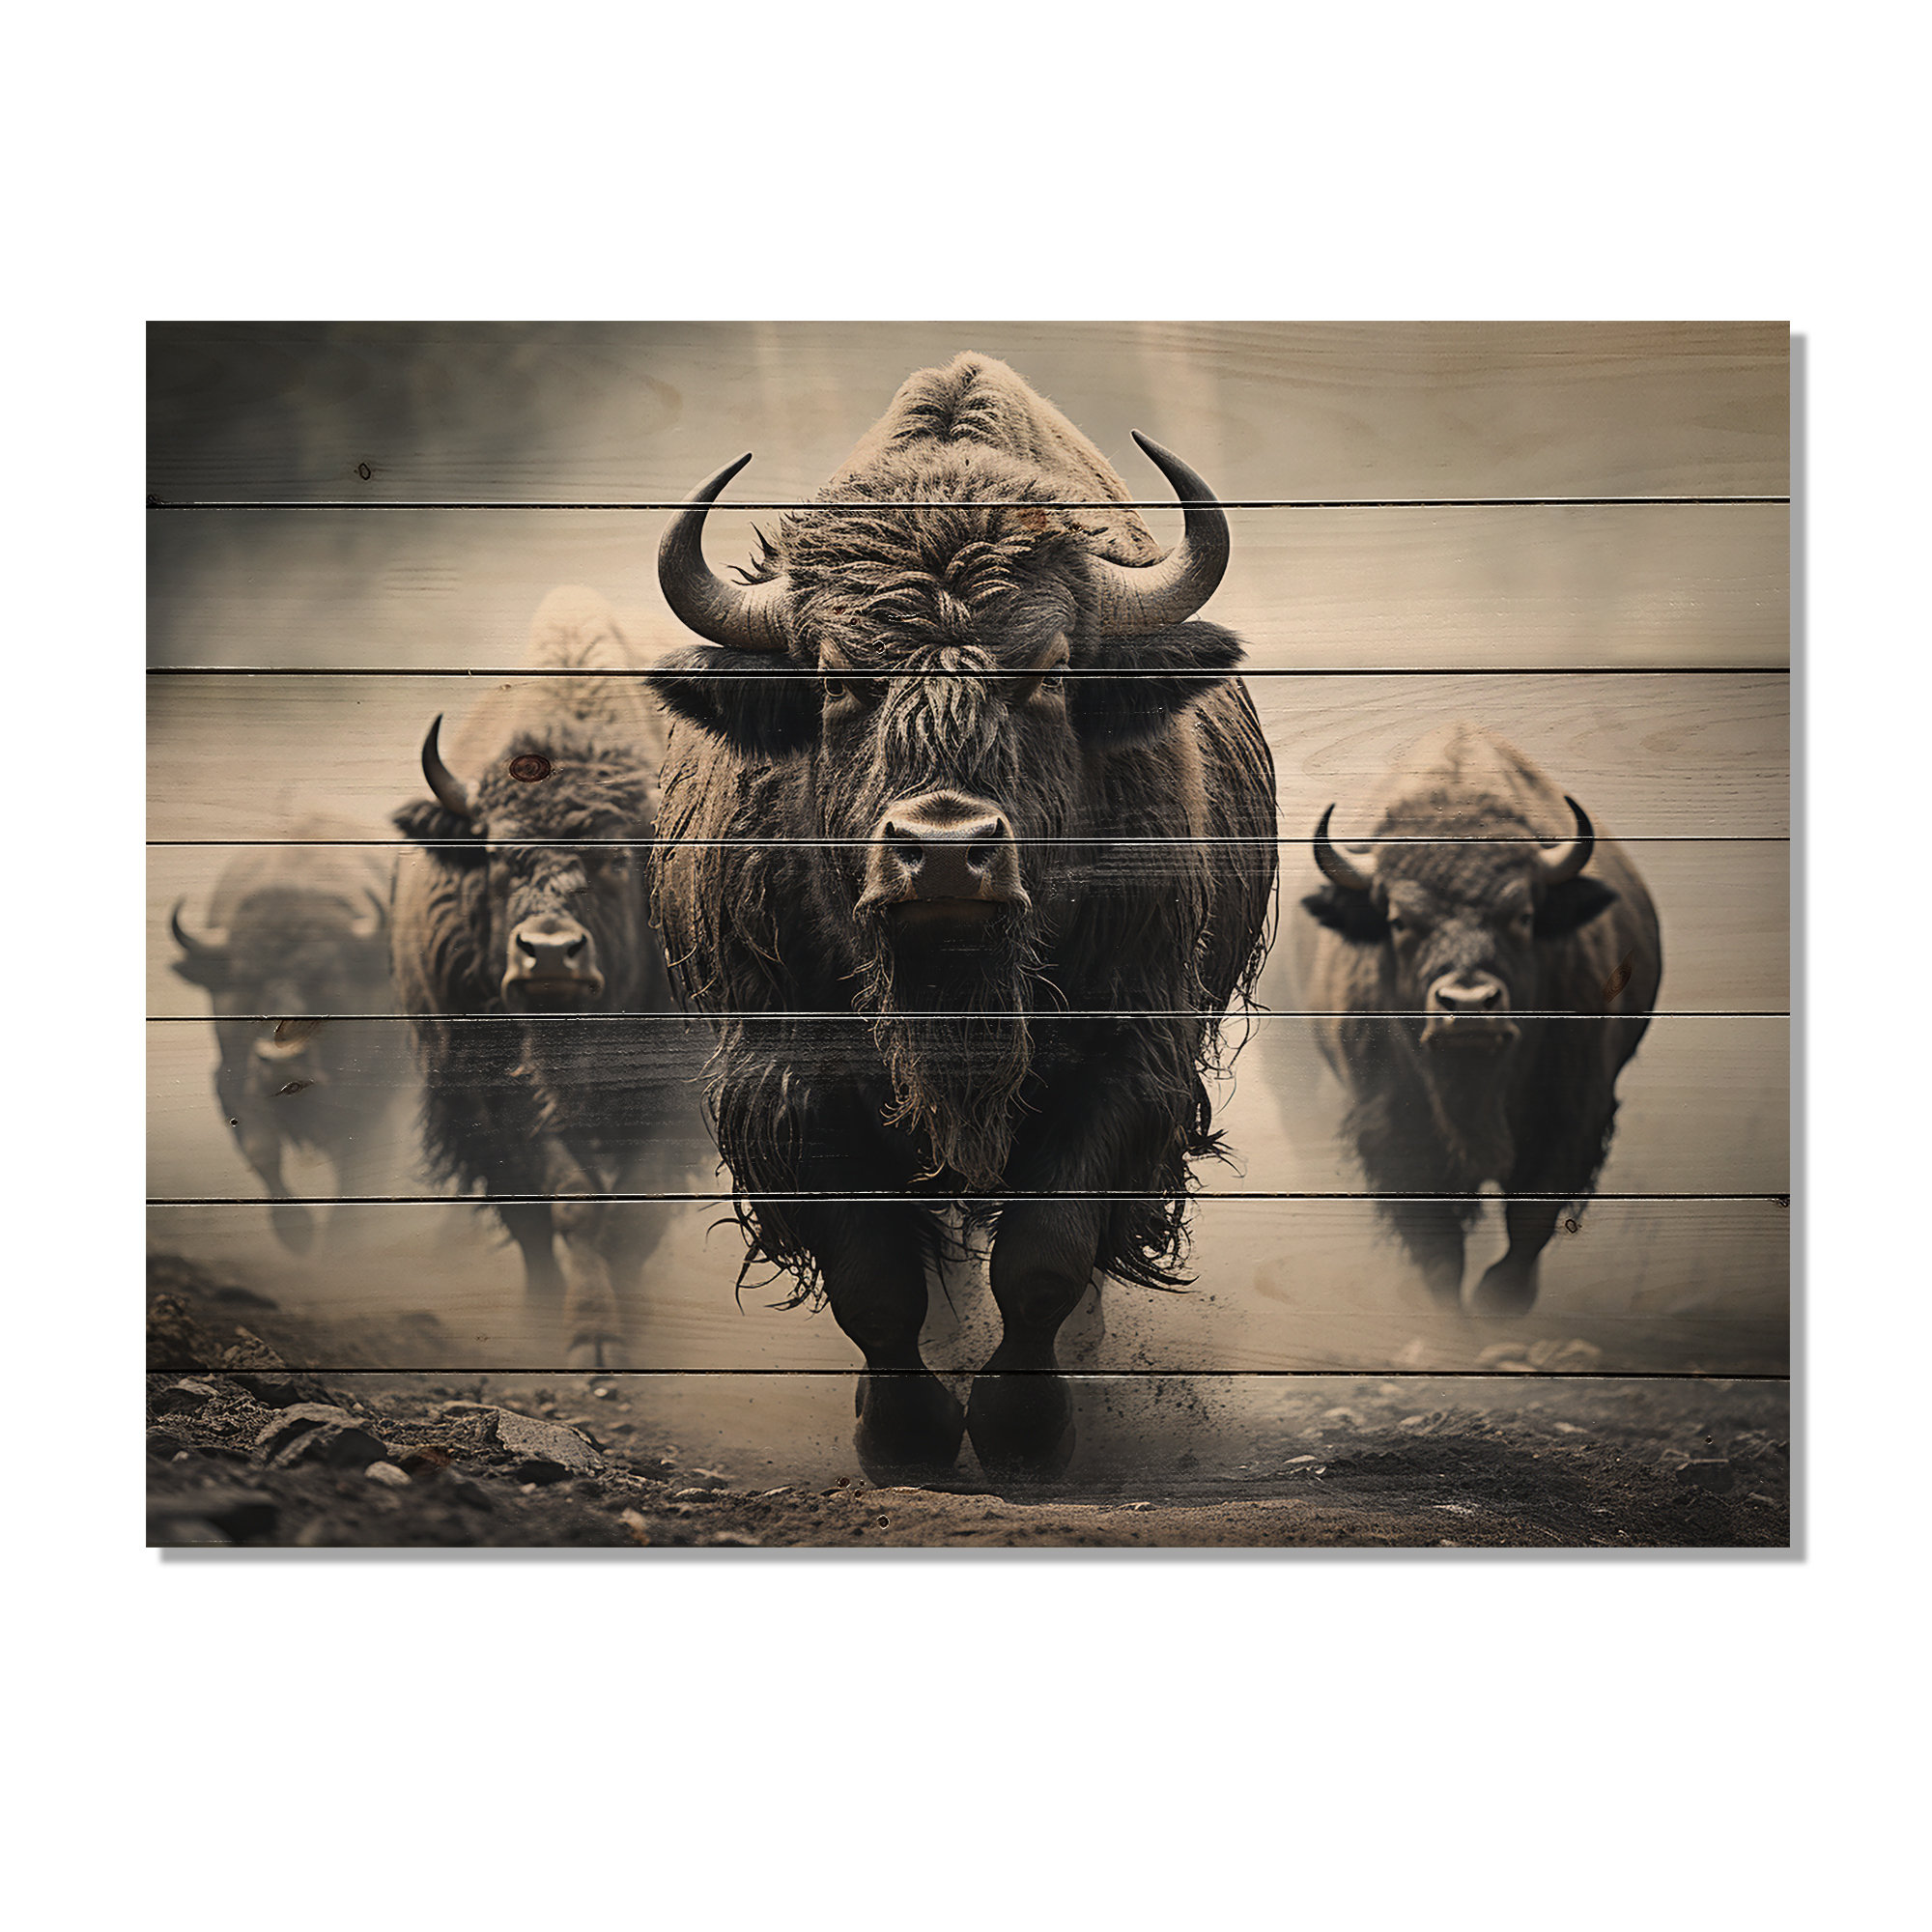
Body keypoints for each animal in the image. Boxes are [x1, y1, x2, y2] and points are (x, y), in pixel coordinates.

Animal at [168, 822, 398, 1252]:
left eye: (327, 976)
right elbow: (261, 1148)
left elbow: (356, 1172)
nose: (281, 1061)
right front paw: (296, 1232)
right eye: (245, 978)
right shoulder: (233, 1082)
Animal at [390, 586, 682, 1369]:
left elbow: (639, 1208)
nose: (549, 954)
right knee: (526, 1216)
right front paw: (591, 1338)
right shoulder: (498, 1092)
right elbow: (569, 1201)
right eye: (498, 855)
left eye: (618, 858)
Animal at [647, 352, 1277, 1481]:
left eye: (1048, 671)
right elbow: (876, 1279)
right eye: (837, 679)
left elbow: (1044, 1257)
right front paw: (902, 1434)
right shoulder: (789, 1078)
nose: (943, 848)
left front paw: (1027, 1432)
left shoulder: (1128, 1054)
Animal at [1288, 723, 1661, 1313]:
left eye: (1524, 915)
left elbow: (1530, 1218)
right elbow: (1438, 1245)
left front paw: (1500, 1302)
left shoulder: (1571, 1116)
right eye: (1398, 920)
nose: (1467, 1007)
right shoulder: (1396, 1130)